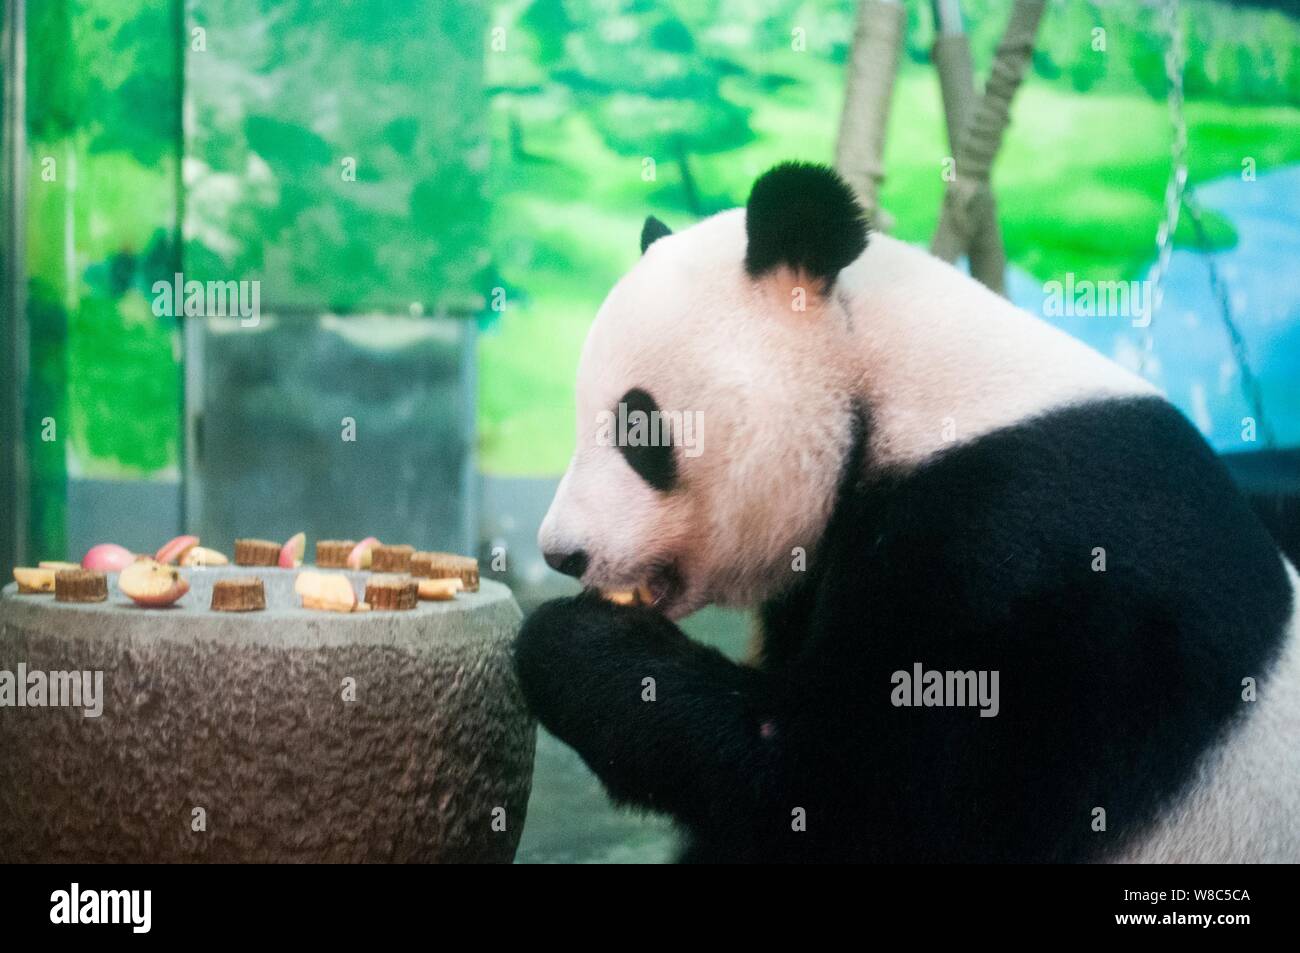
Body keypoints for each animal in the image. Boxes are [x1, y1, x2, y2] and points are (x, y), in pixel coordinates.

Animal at [513, 162, 1300, 863]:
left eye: (638, 427)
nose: (562, 552)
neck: (900, 384)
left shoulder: (1031, 561)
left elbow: (858, 795)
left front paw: (567, 641)